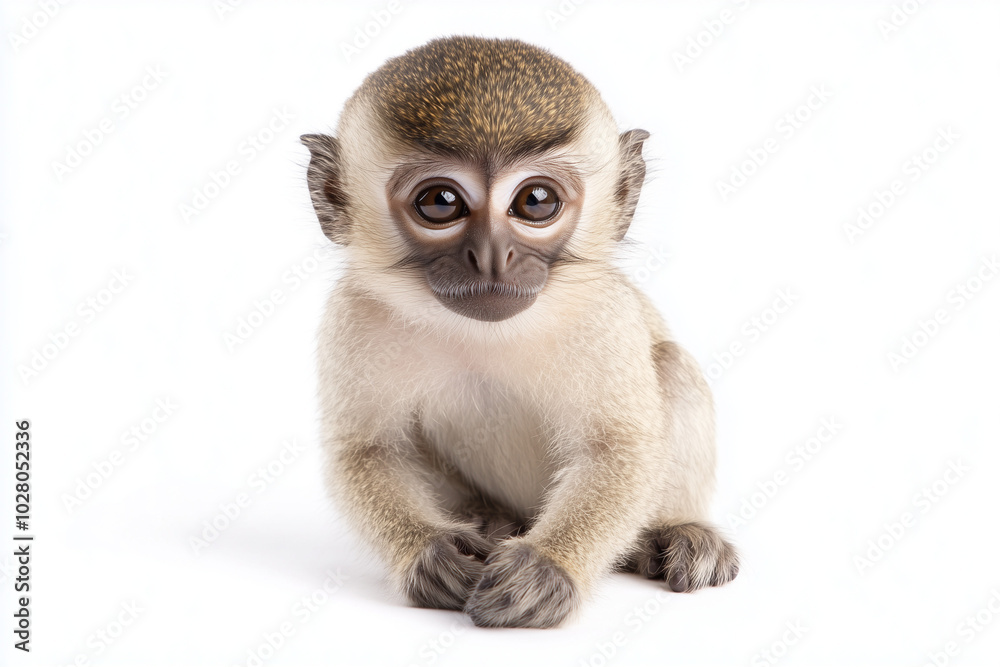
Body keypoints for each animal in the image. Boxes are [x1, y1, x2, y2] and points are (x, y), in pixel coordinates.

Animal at [301, 36, 738, 629]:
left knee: (670, 365)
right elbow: (368, 450)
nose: (491, 257)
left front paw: (547, 567)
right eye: (440, 202)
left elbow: (617, 448)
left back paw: (675, 532)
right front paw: (430, 553)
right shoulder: (353, 315)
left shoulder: (605, 315)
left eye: (535, 201)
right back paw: (489, 519)